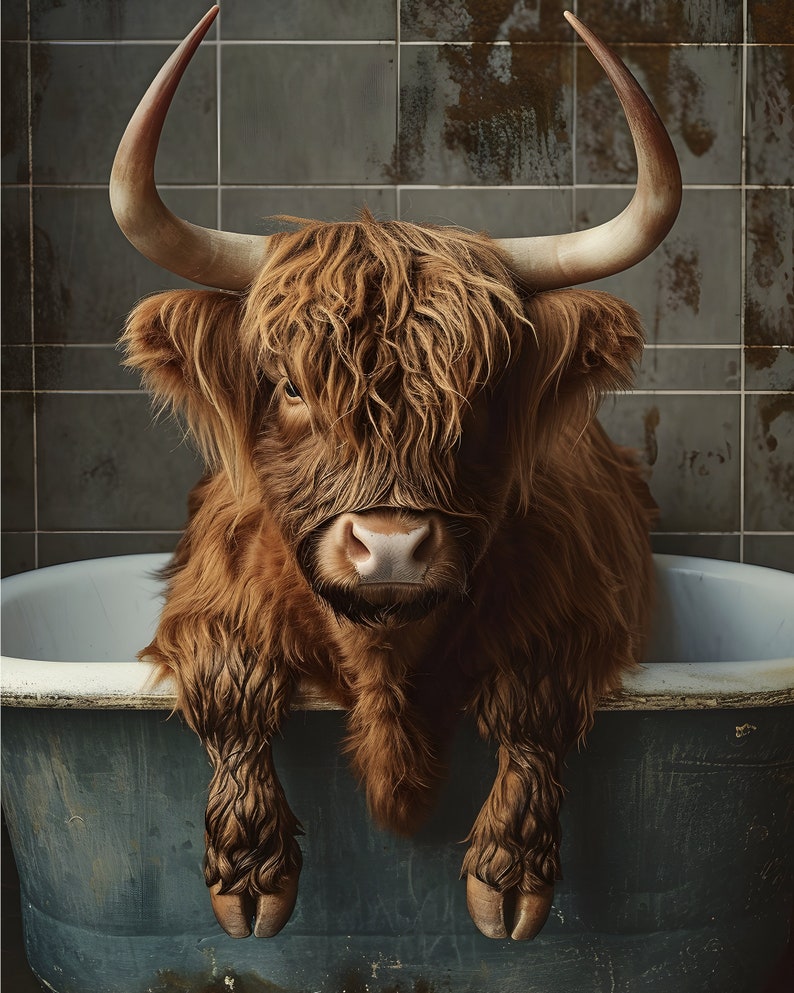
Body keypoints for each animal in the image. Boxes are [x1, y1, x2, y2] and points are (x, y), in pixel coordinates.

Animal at [110, 6, 681, 942]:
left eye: (481, 392)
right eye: (292, 386)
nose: (390, 546)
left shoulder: (580, 607)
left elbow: (531, 695)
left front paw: (509, 868)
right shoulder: (205, 598)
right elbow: (231, 681)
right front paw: (250, 867)